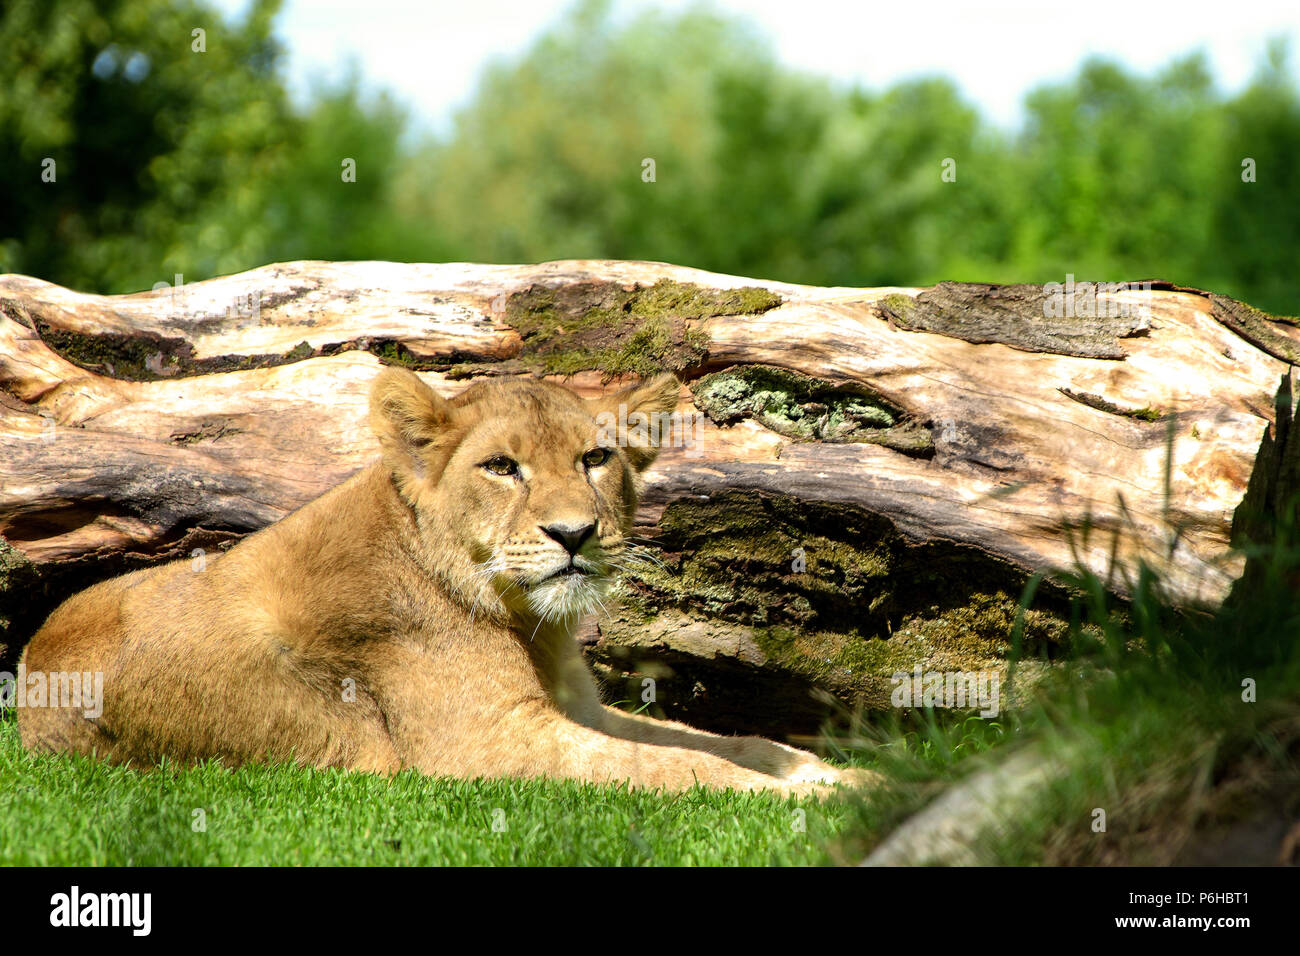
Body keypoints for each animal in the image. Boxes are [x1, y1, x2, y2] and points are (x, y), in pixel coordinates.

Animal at [18, 368, 869, 795]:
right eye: (501, 467)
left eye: (594, 459)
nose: (574, 534)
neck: (531, 623)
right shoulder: (485, 748)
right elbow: (681, 769)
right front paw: (824, 796)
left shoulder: (577, 711)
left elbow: (725, 743)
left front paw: (824, 769)